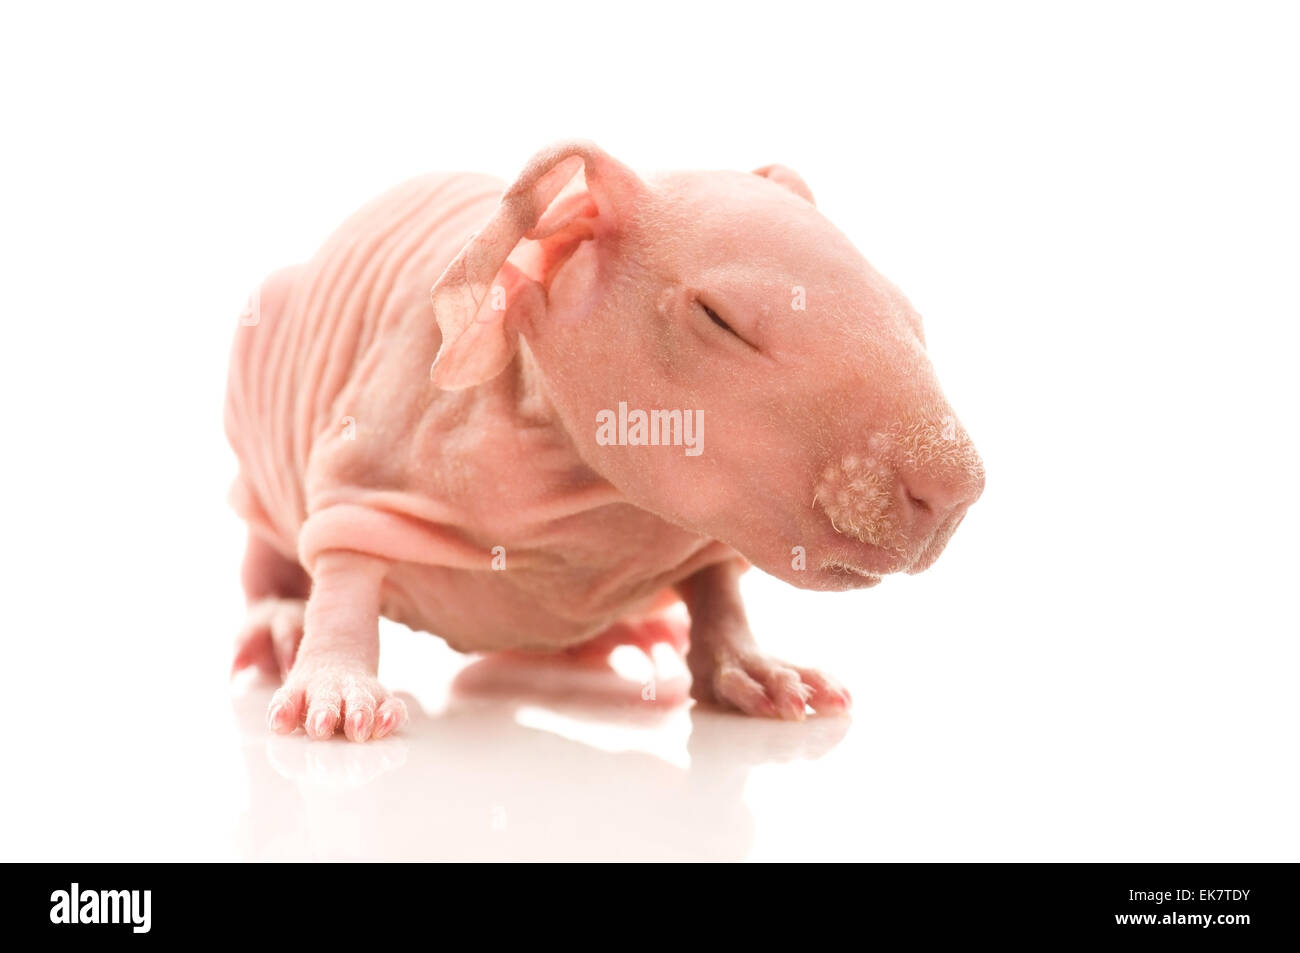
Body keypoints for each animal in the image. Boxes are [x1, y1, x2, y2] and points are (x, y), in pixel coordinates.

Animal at [225, 141, 985, 742]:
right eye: (721, 319)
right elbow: (343, 555)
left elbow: (716, 583)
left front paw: (754, 666)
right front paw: (334, 685)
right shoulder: (384, 440)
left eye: (911, 315)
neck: (599, 498)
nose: (955, 488)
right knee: (267, 540)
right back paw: (277, 622)